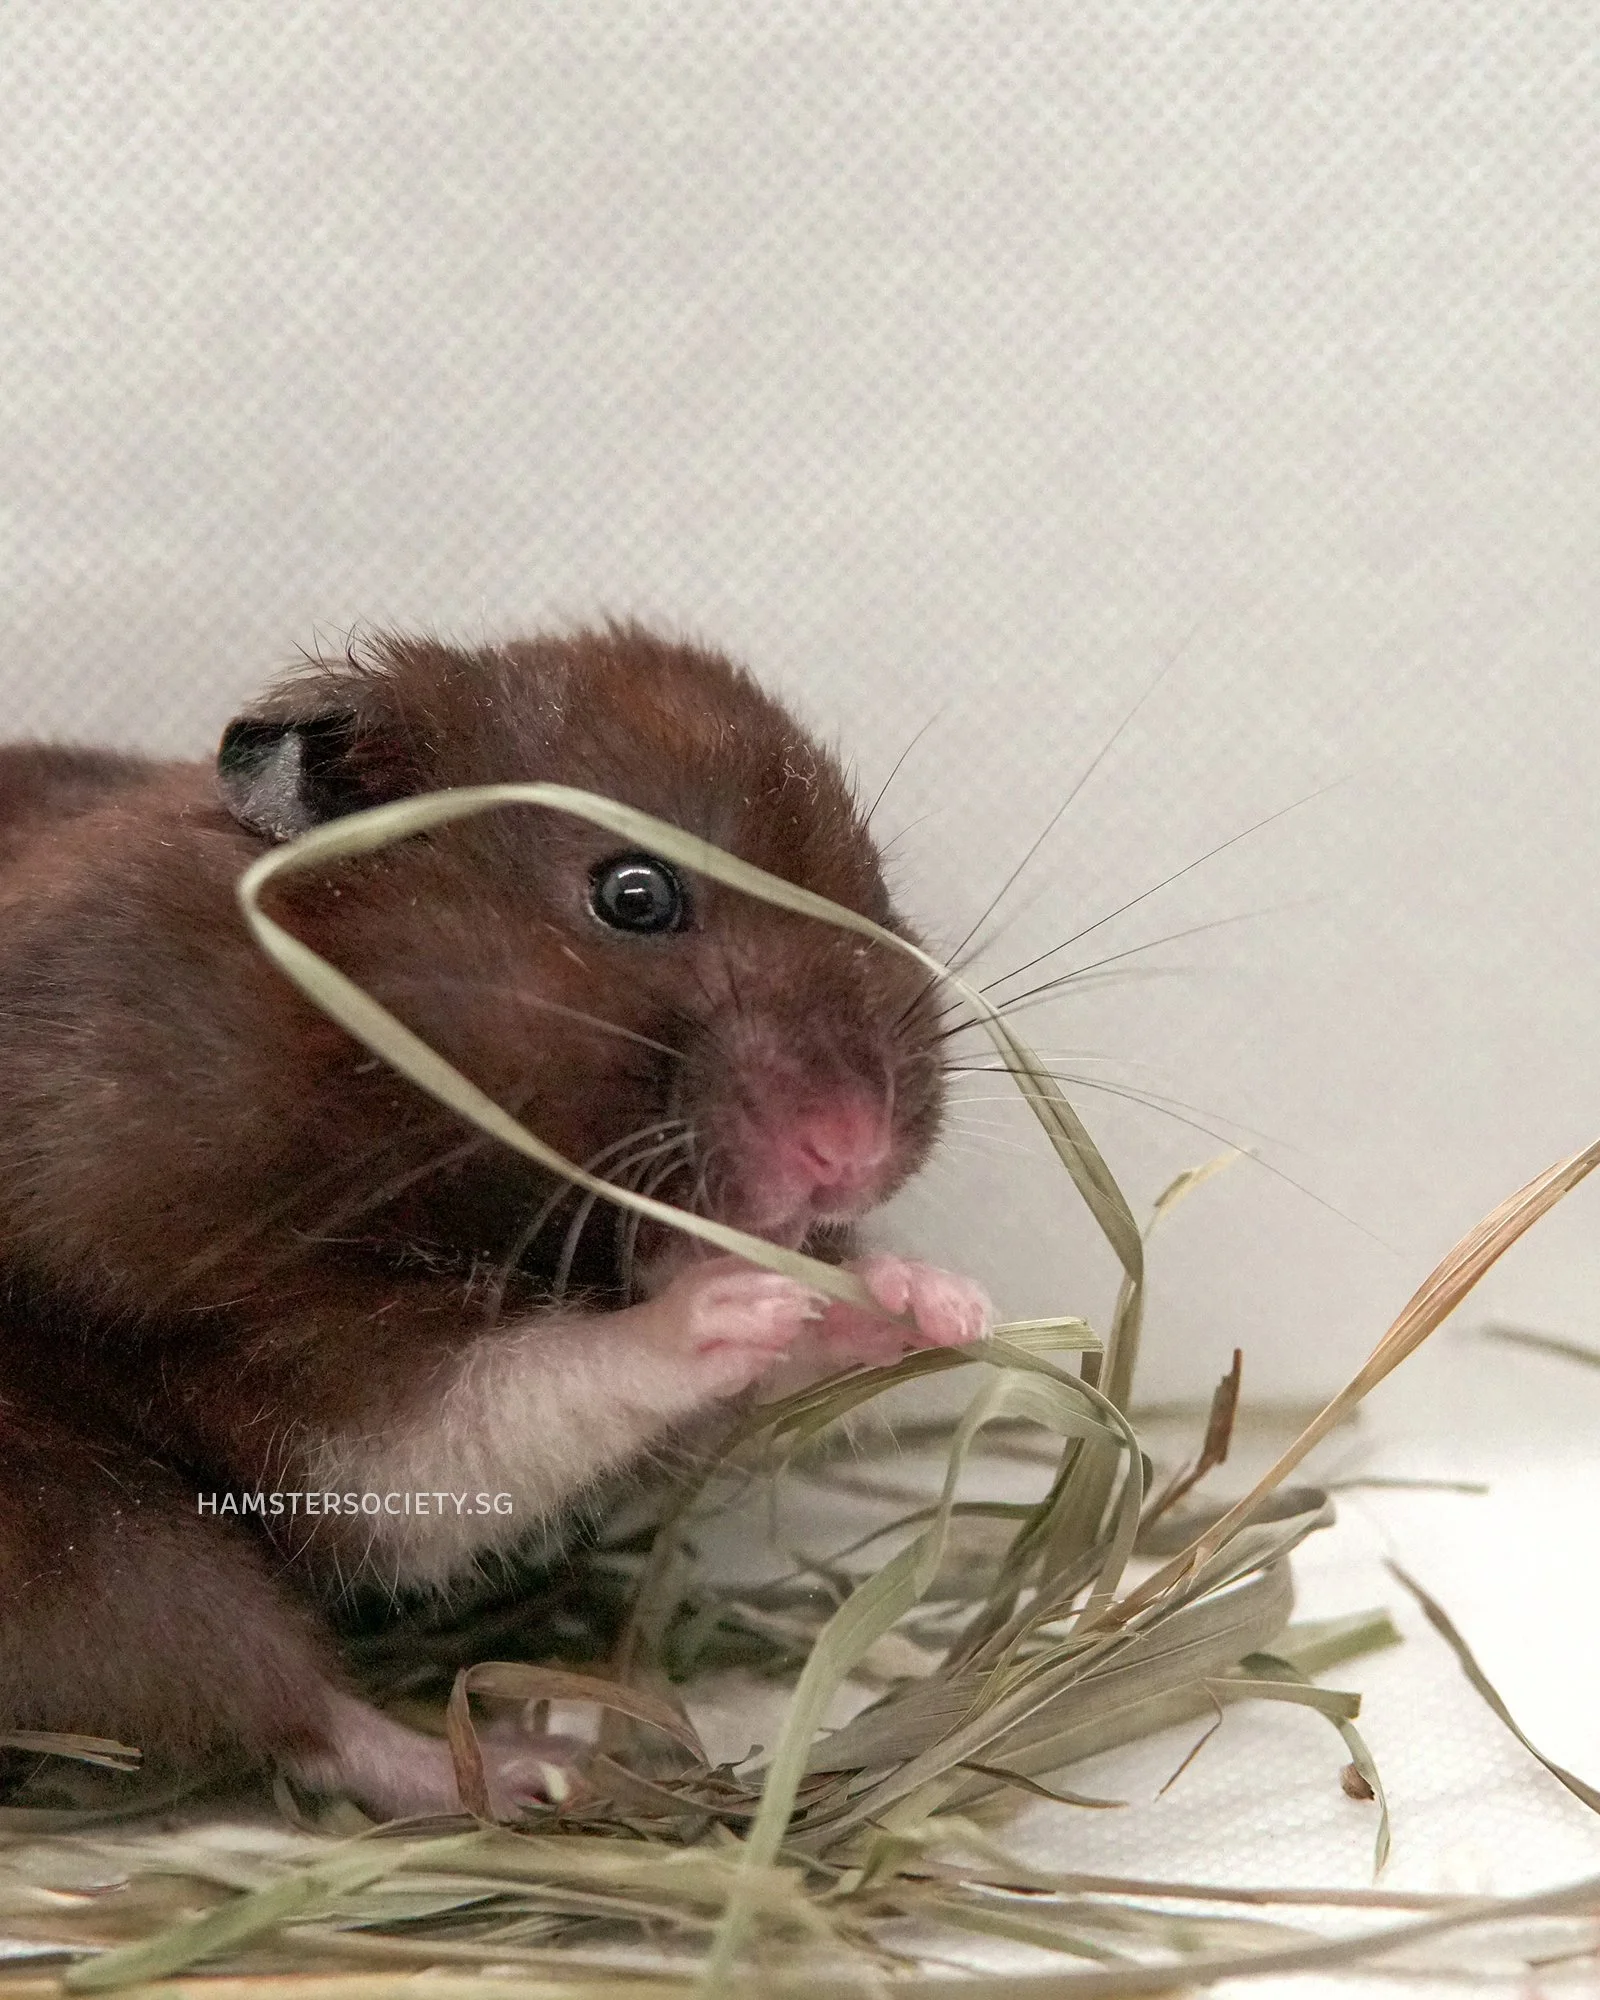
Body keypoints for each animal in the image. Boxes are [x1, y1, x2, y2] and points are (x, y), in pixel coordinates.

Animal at [0, 625, 988, 1818]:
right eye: (636, 894)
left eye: (873, 884)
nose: (853, 1147)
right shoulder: (268, 1357)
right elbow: (501, 1399)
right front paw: (722, 1300)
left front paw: (935, 1303)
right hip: (74, 1529)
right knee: (264, 1693)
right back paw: (527, 1771)